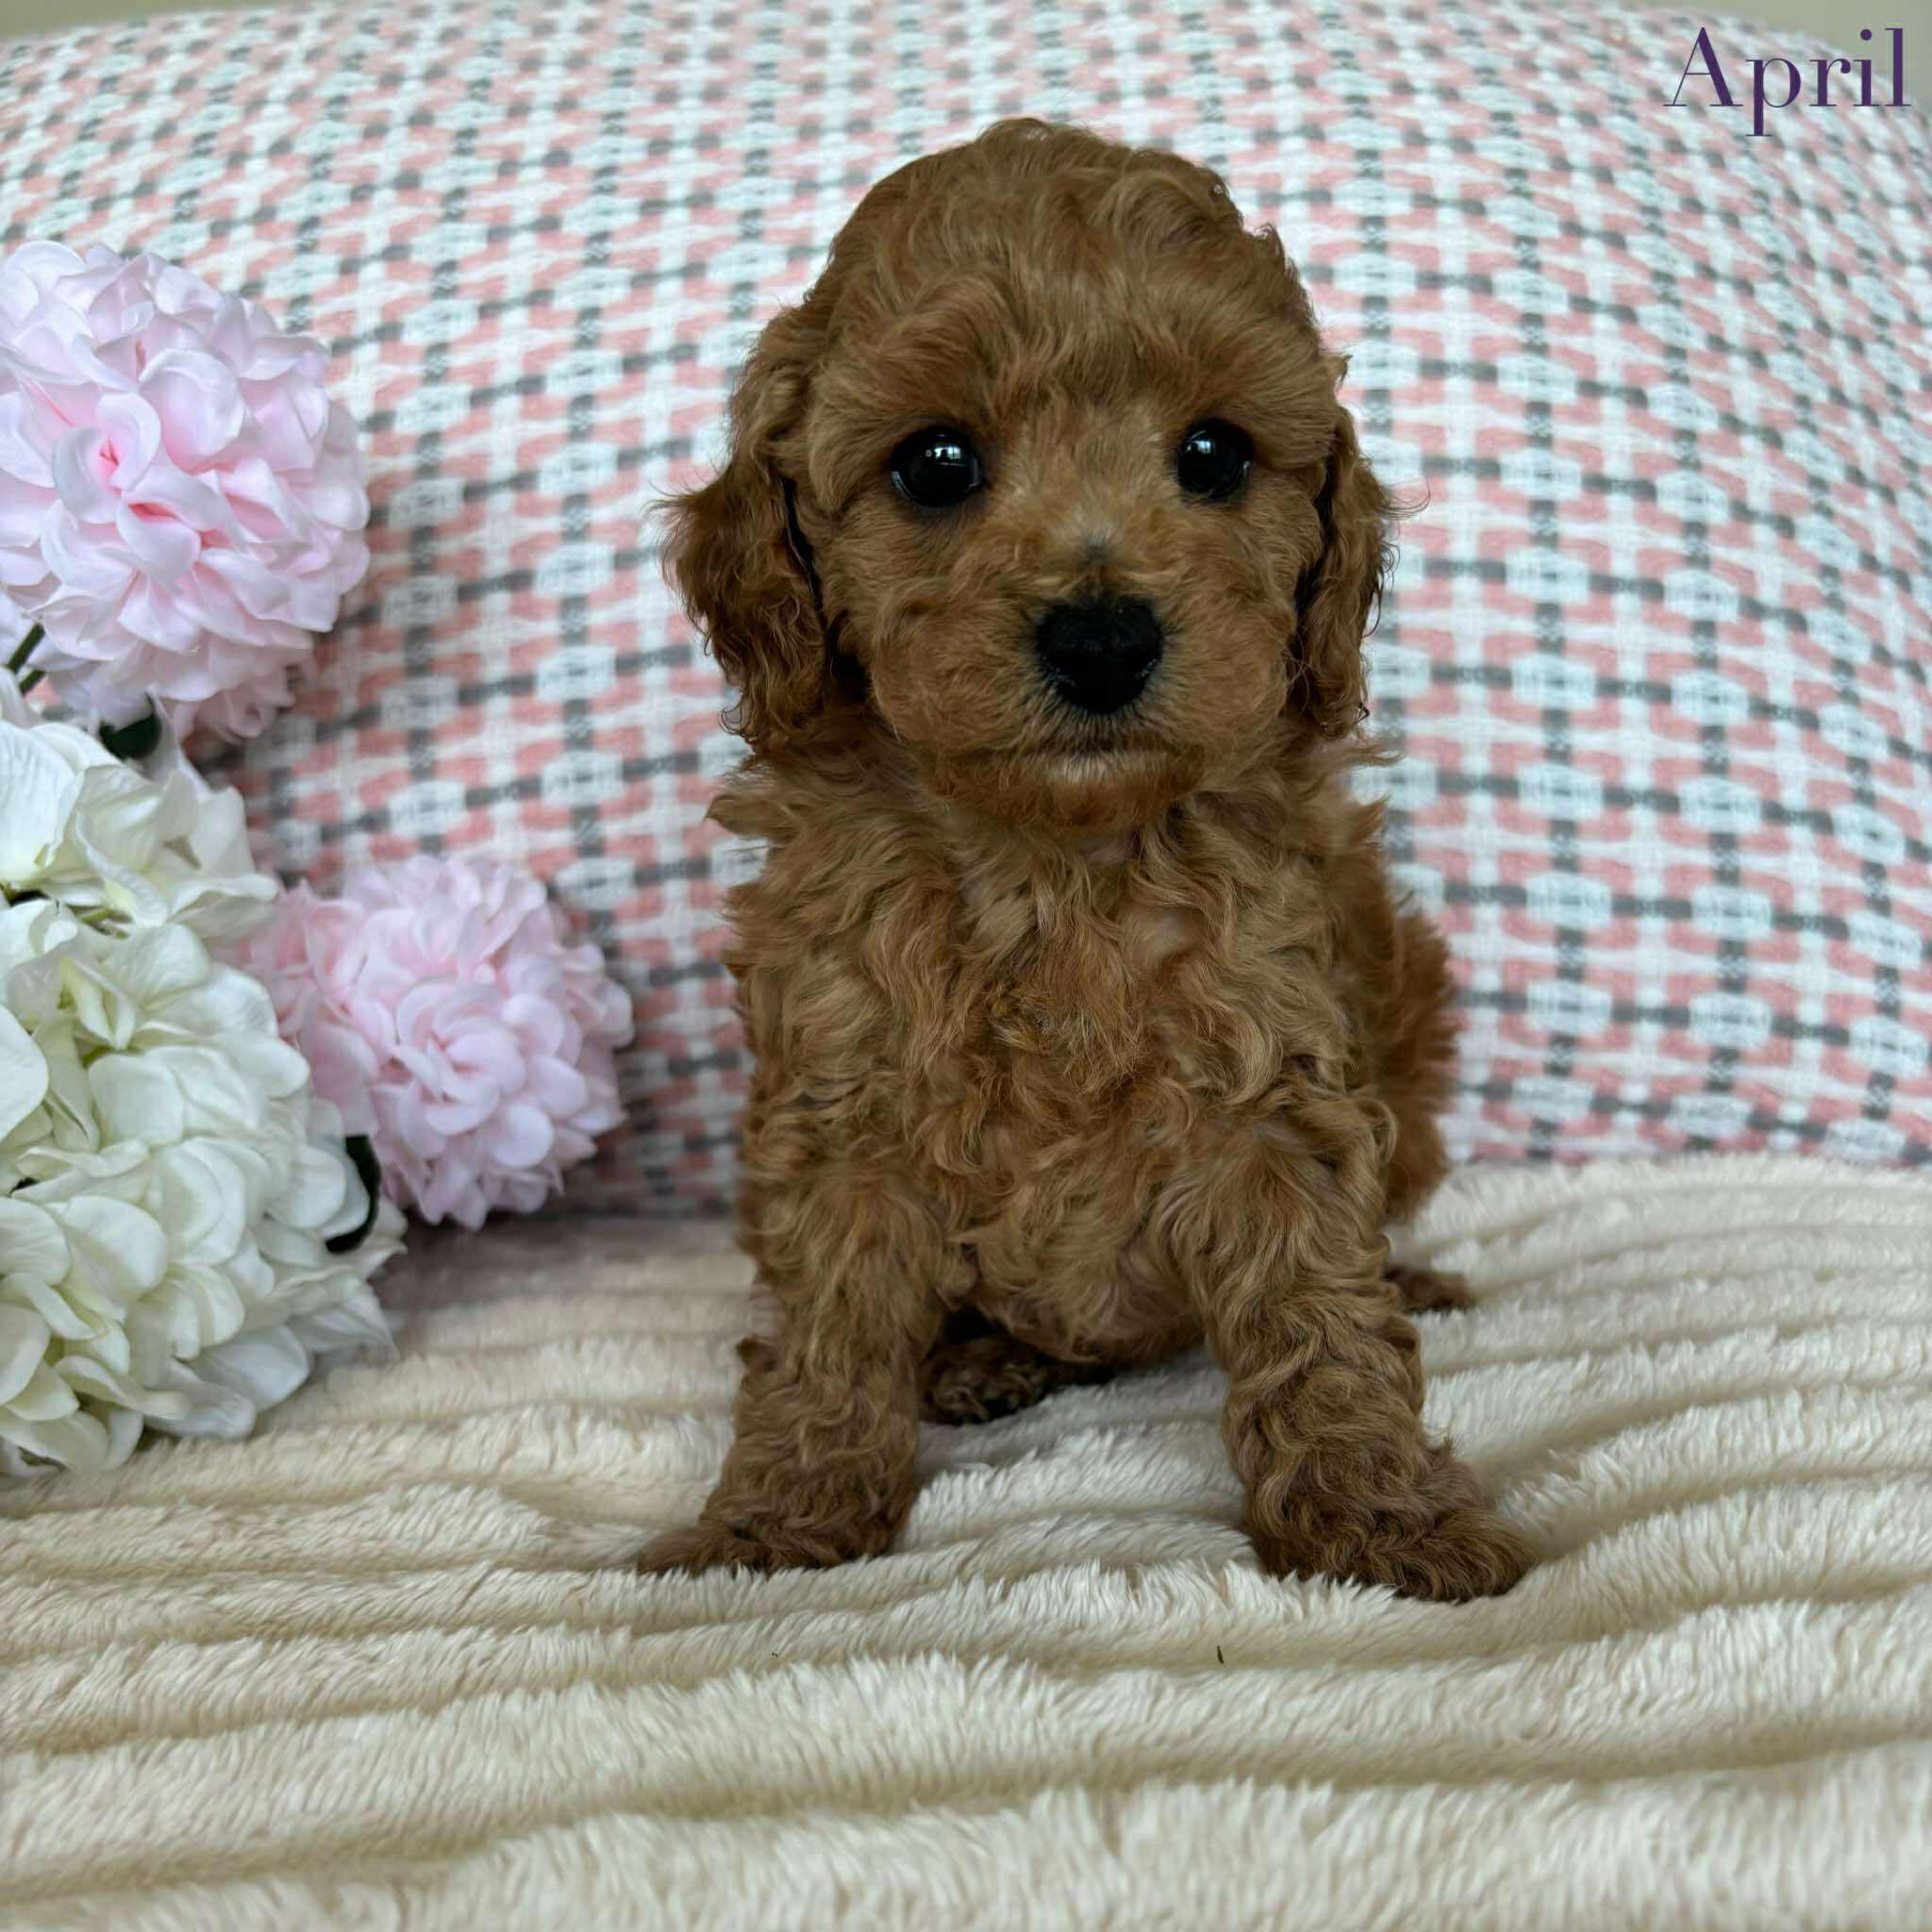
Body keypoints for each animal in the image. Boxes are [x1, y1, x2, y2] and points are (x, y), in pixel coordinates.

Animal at [639, 119, 1533, 1602]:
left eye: (1215, 453)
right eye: (936, 463)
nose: (1103, 639)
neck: (1053, 864)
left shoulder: (1271, 1075)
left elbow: (1318, 1312)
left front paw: (1378, 1513)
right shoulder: (843, 1090)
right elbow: (825, 1324)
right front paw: (776, 1519)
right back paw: (977, 1361)